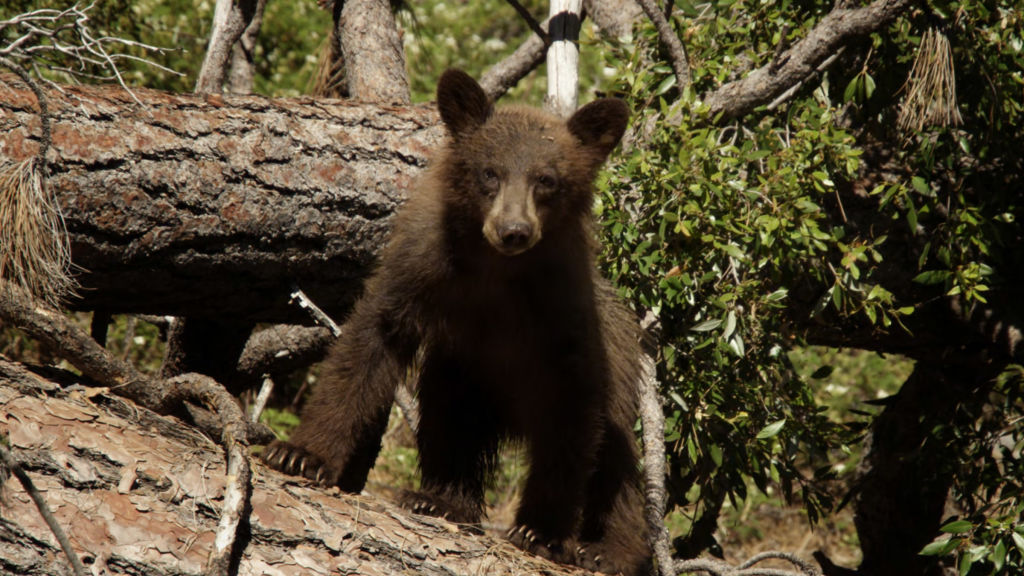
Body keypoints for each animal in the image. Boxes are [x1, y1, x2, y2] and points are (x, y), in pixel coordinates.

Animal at [263, 69, 650, 576]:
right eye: (490, 172)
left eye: (546, 179)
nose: (513, 231)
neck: (496, 271)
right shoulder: (421, 268)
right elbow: (368, 343)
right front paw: (300, 454)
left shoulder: (564, 308)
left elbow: (574, 411)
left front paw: (542, 531)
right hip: (461, 375)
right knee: (450, 423)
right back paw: (441, 499)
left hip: (620, 367)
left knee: (615, 462)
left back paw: (611, 549)